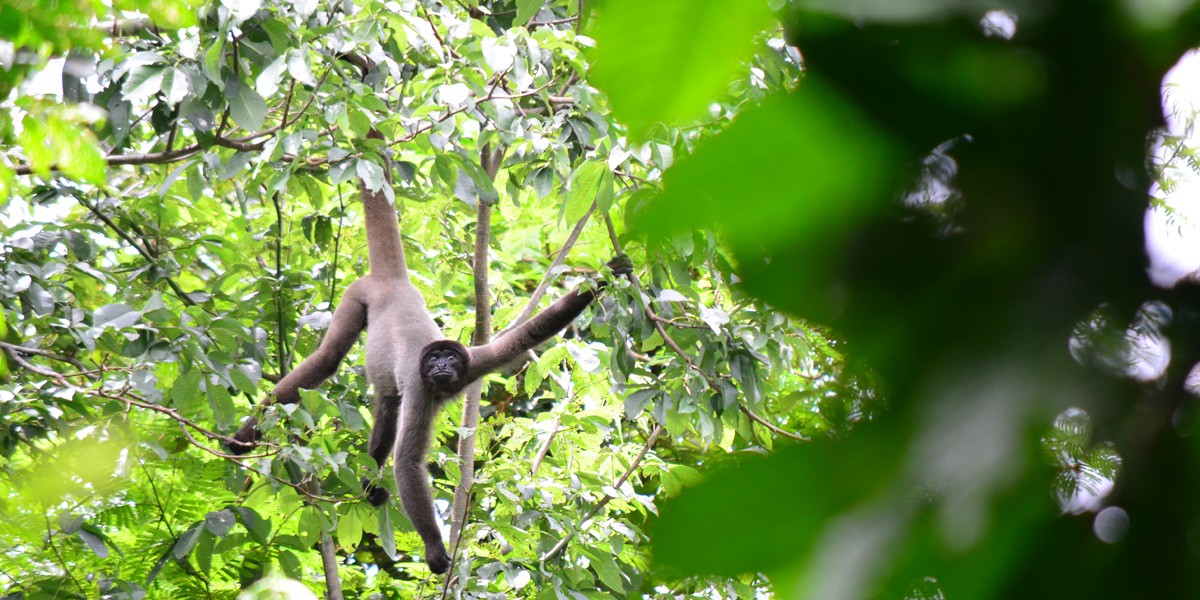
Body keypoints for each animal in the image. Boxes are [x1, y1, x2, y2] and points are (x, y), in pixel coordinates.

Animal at [226, 139, 630, 574]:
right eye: (435, 361)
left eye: (450, 360)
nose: (439, 365)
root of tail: (394, 281)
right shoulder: (423, 387)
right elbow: (407, 462)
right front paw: (435, 548)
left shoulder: (476, 360)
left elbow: (530, 334)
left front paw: (608, 274)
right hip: (356, 295)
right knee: (330, 358)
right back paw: (243, 437)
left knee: (388, 403)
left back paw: (370, 482)